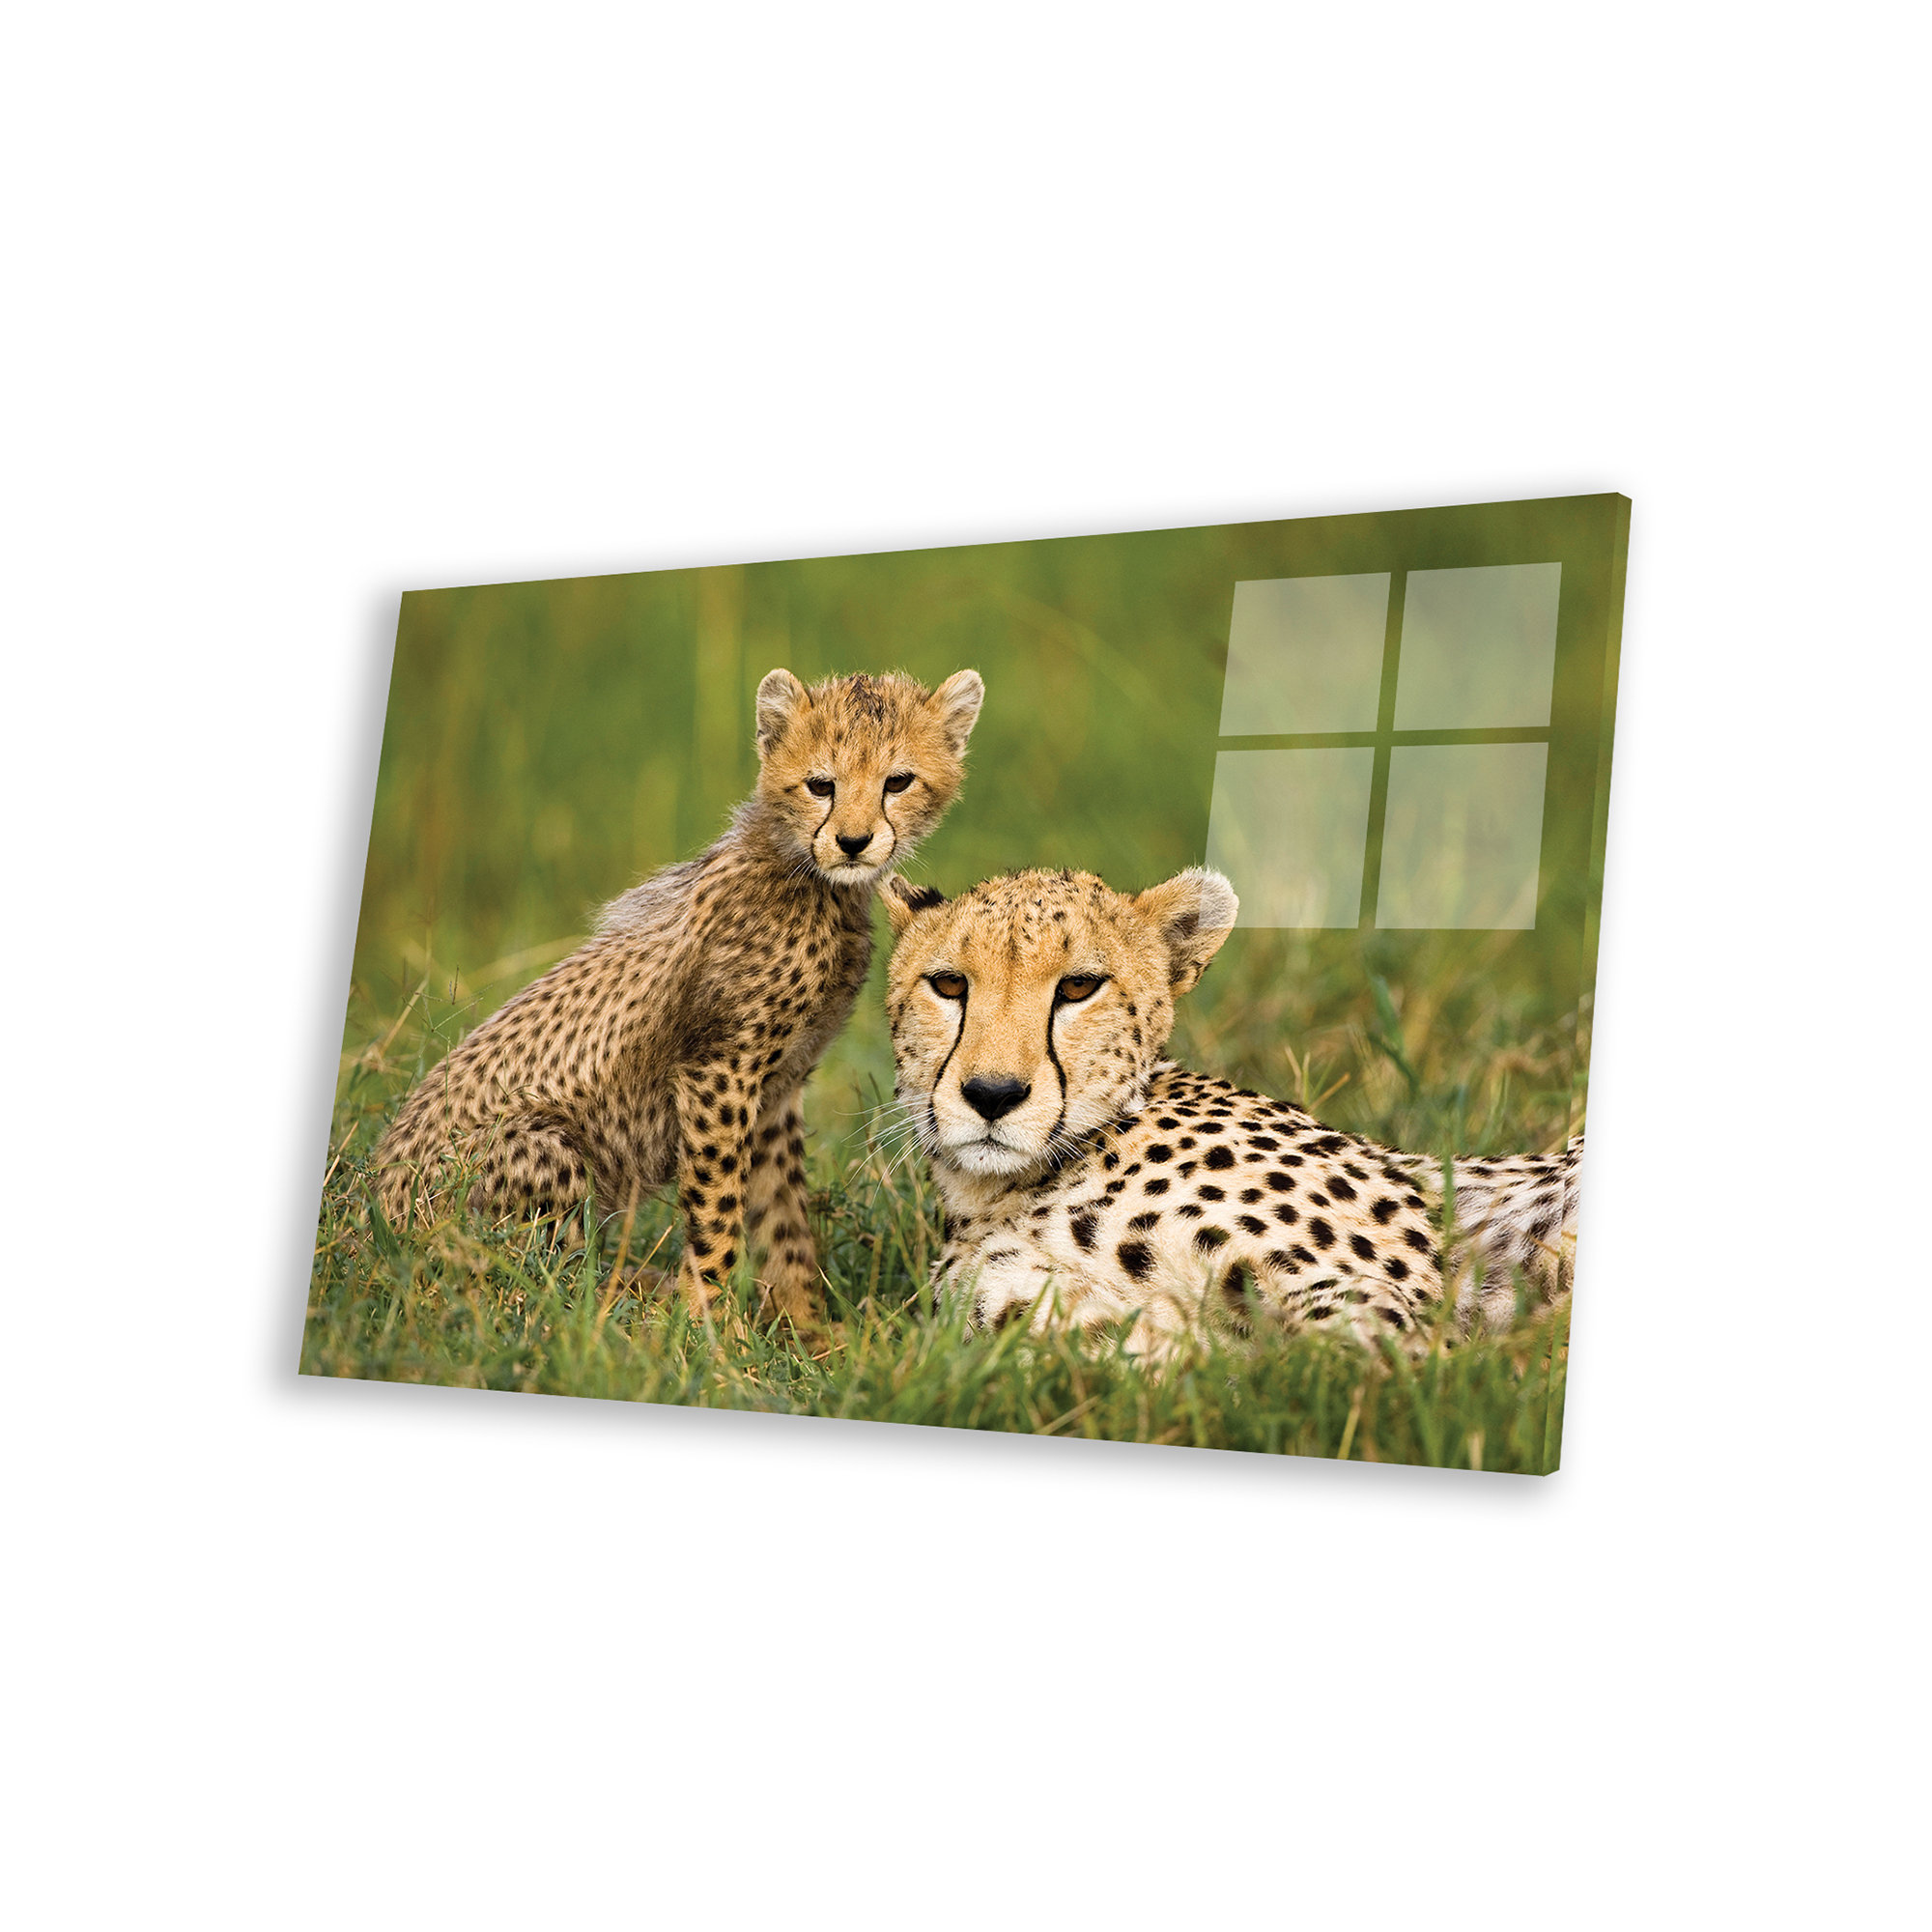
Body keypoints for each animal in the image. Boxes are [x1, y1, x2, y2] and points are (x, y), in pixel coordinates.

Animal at [376, 665, 985, 1322]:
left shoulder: (775, 1091)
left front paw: (809, 1329)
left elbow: (784, 1222)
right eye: (821, 785)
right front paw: (711, 1328)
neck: (811, 880)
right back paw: (638, 1301)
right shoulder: (718, 1073)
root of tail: (368, 1210)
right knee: (530, 1289)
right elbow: (718, 1214)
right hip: (542, 1148)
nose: (853, 841)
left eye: (898, 781)